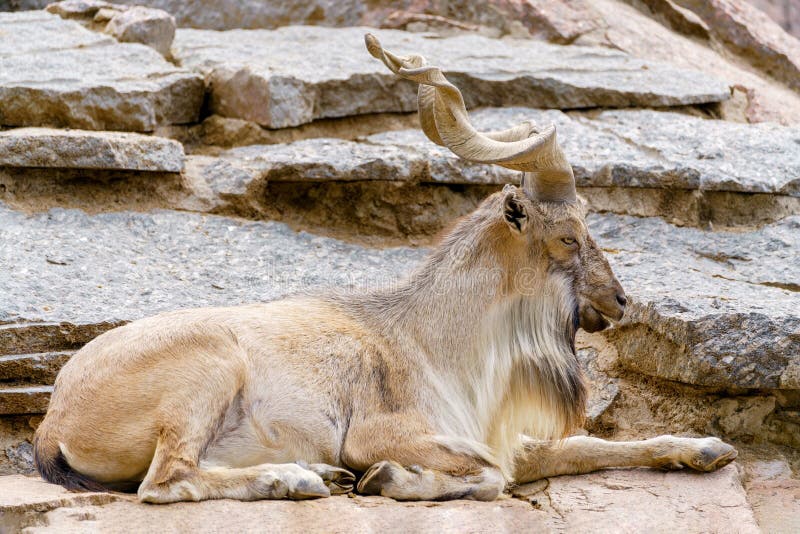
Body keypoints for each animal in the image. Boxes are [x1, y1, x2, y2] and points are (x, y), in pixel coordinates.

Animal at [32, 34, 737, 503]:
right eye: (567, 236)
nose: (619, 303)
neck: (433, 339)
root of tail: (54, 422)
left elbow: (583, 447)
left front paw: (707, 448)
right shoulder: (391, 432)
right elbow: (489, 476)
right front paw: (389, 478)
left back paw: (320, 474)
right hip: (207, 370)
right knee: (166, 480)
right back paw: (297, 477)